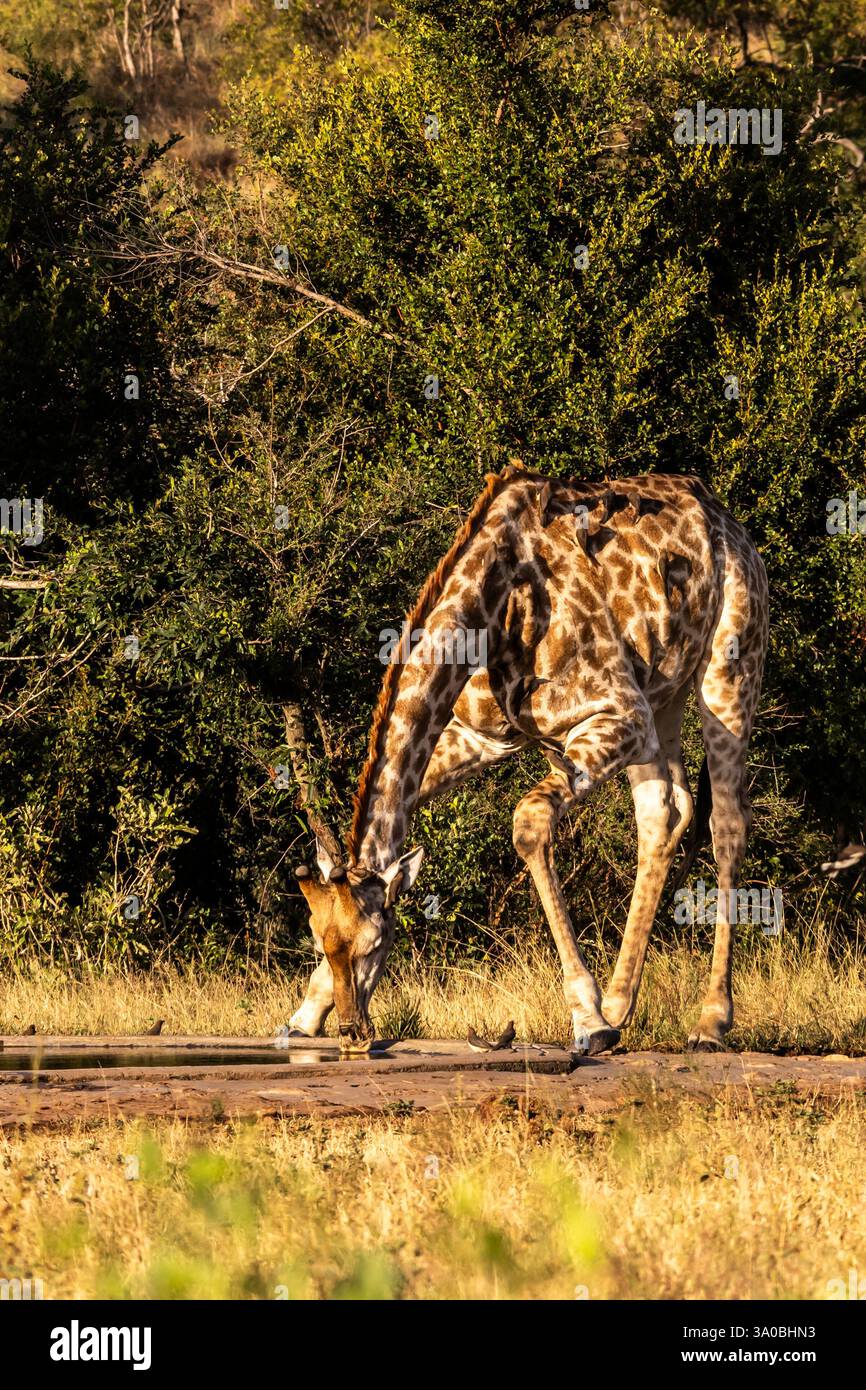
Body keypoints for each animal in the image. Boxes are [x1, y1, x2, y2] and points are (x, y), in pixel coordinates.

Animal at [292, 465, 769, 1054]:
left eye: (376, 944)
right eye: (319, 943)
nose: (354, 1034)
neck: (496, 606)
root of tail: (731, 527)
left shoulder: (616, 713)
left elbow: (528, 820)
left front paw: (587, 1019)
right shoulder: (483, 735)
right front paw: (304, 1014)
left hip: (729, 668)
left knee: (726, 823)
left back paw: (709, 1021)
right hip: (661, 698)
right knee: (665, 812)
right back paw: (620, 1003)